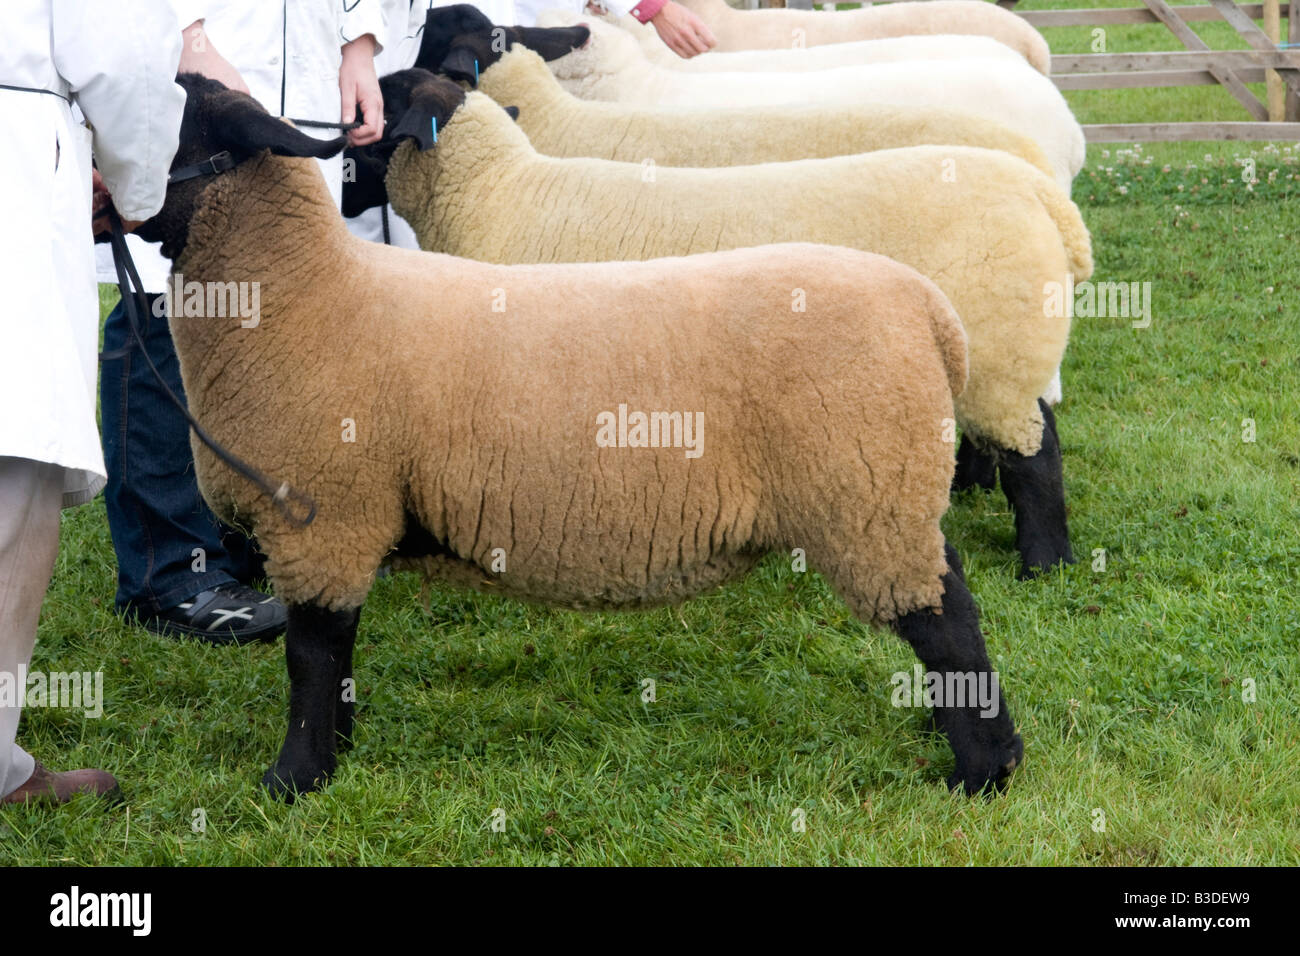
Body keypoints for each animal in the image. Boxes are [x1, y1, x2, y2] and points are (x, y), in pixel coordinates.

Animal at [367, 70, 1092, 578]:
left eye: (386, 94)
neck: (499, 192)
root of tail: (1041, 192)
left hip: (1003, 336)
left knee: (1036, 450)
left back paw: (1043, 563)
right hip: (986, 346)